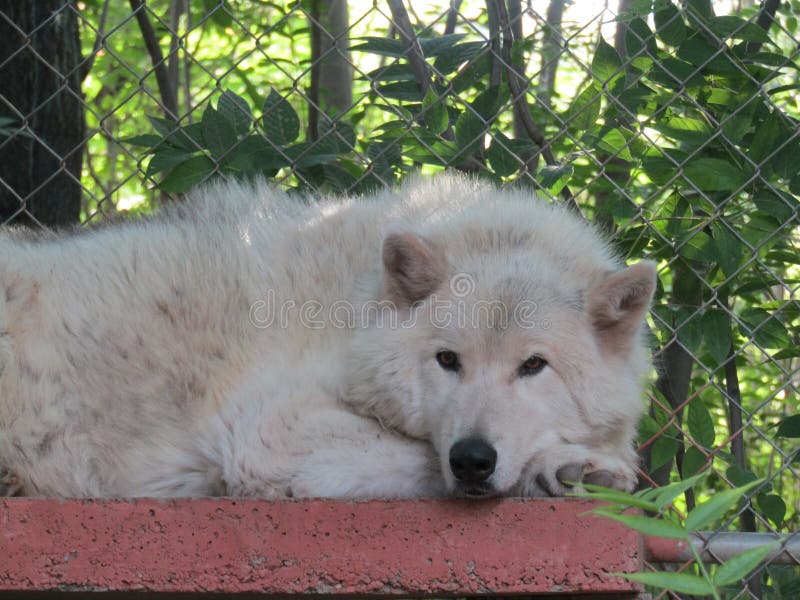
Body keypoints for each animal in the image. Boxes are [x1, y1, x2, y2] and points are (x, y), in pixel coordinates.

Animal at [0, 174, 655, 499]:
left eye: (533, 366)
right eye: (447, 360)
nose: (471, 460)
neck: (356, 310)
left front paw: (583, 468)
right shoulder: (266, 428)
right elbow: (418, 453)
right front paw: (566, 463)